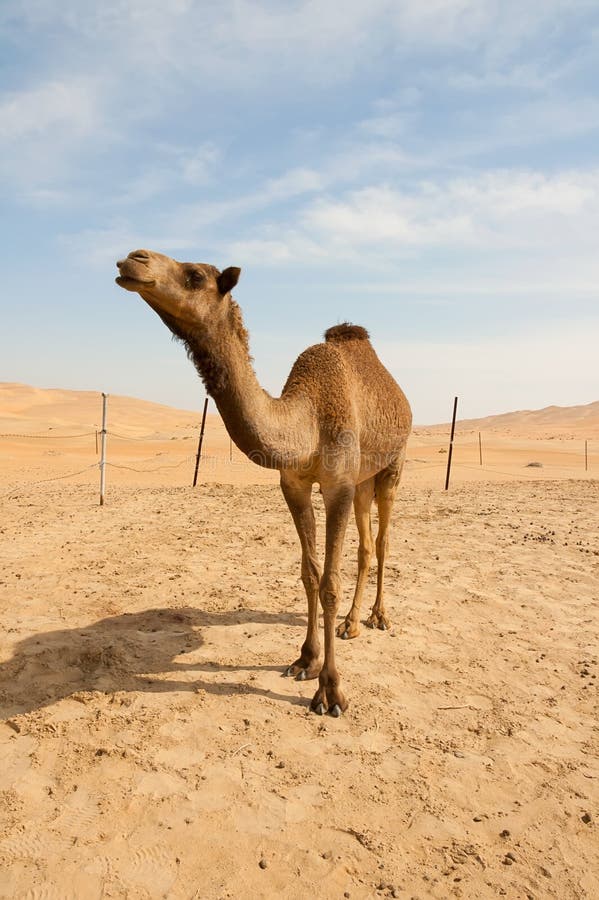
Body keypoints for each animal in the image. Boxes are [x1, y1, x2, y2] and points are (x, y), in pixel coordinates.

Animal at [115, 249, 412, 716]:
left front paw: (330, 691)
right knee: (366, 545)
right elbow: (309, 573)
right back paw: (351, 623)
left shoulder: (338, 484)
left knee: (382, 541)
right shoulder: (294, 484)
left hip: (392, 466)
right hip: (364, 478)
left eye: (194, 275)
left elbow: (329, 583)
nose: (133, 259)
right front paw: (305, 659)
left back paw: (378, 617)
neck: (307, 419)